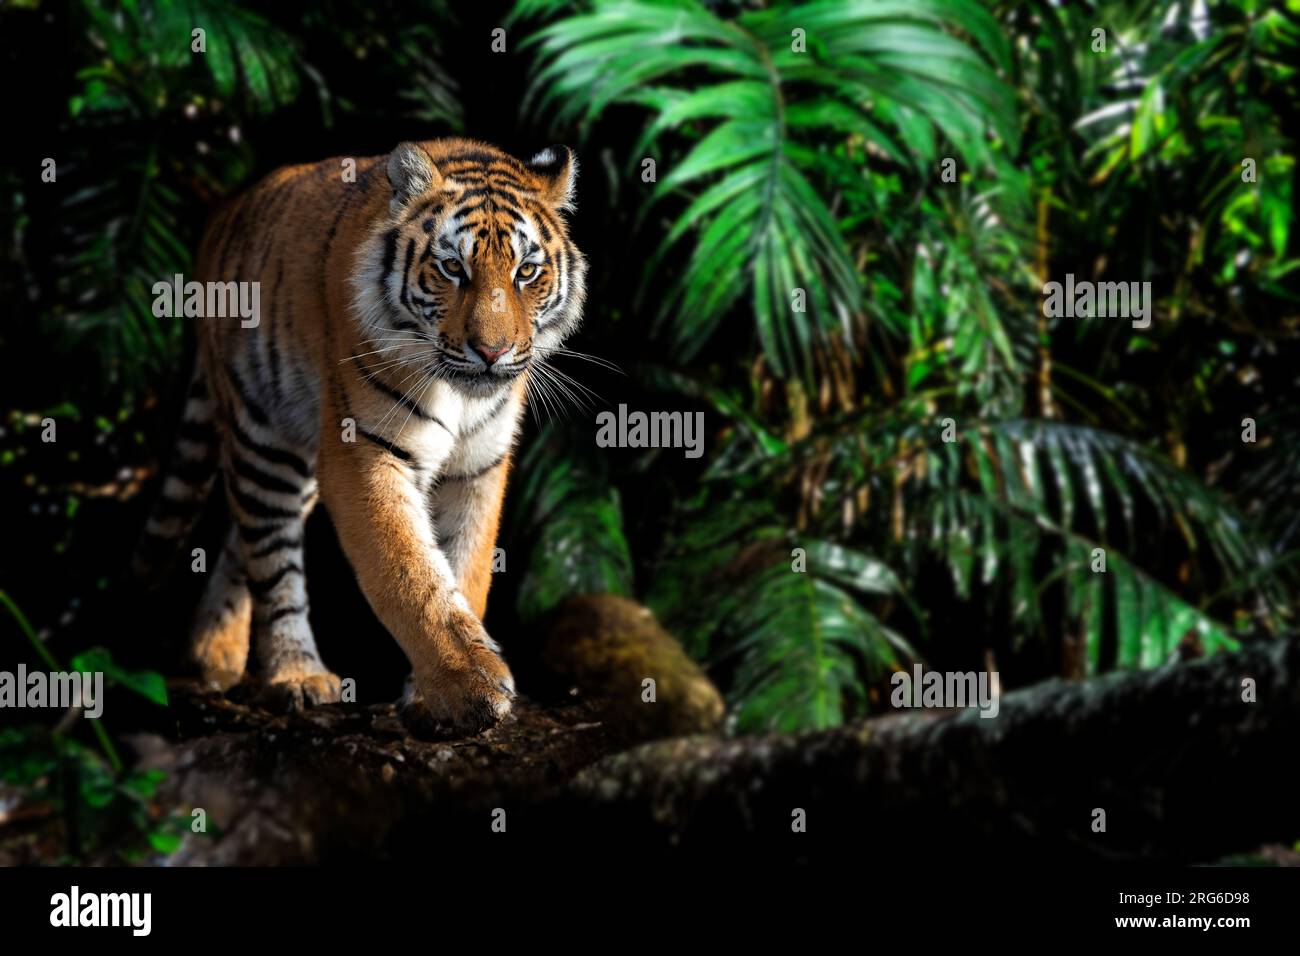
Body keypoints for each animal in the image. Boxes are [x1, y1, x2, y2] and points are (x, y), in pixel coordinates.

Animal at [132, 138, 588, 733]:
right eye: (452, 268)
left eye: (527, 272)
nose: (493, 352)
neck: (461, 394)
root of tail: (223, 214)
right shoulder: (365, 450)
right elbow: (409, 573)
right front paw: (469, 688)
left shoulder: (478, 468)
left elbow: (464, 570)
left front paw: (431, 695)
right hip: (263, 438)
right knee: (271, 559)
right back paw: (295, 675)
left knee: (241, 543)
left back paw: (214, 656)